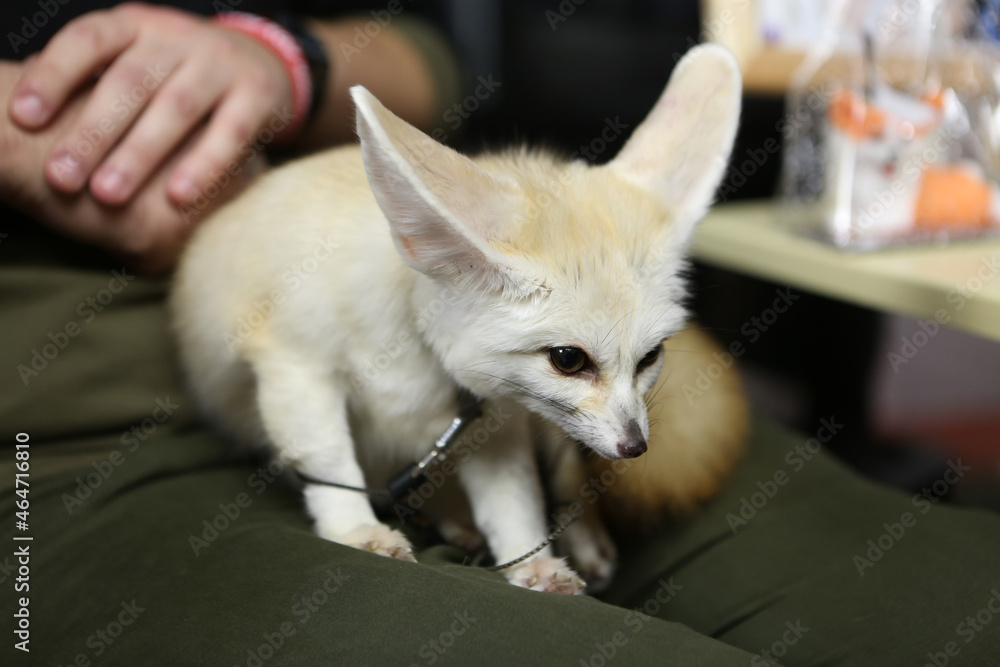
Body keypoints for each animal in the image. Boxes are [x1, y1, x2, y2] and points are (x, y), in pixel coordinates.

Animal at [170, 44, 746, 595]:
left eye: (650, 357)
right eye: (568, 359)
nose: (635, 448)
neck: (414, 346)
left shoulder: (497, 422)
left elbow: (515, 500)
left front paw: (531, 562)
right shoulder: (297, 366)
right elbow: (328, 458)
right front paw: (355, 528)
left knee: (561, 479)